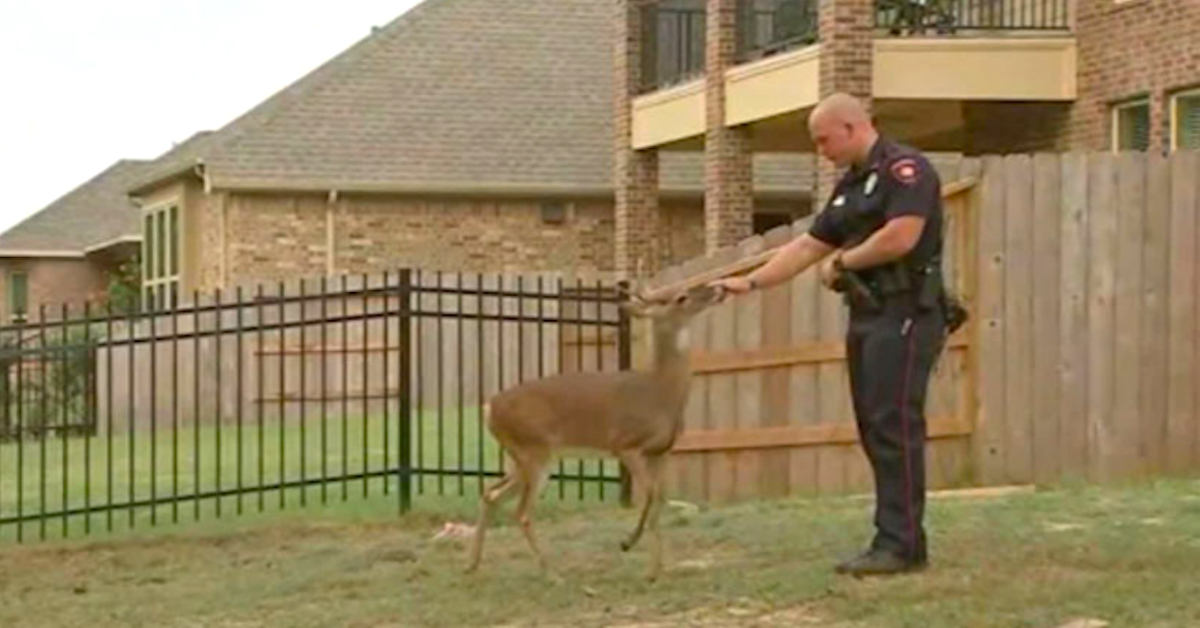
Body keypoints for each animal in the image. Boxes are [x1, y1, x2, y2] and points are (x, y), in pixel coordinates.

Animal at [463, 283, 723, 582]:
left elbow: (659, 500)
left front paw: (655, 570)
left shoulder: (661, 452)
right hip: (533, 450)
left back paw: (472, 565)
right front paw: (629, 544)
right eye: (681, 297)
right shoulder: (626, 444)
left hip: (522, 456)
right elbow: (648, 496)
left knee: (491, 493)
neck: (661, 391)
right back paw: (552, 573)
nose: (716, 287)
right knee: (522, 512)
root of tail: (489, 407)